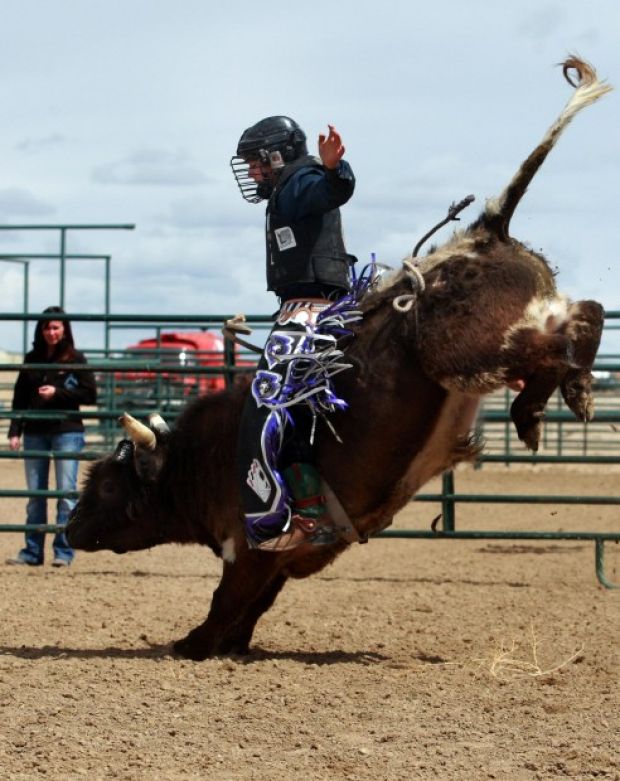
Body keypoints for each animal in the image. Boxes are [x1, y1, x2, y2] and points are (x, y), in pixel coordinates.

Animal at [66, 57, 609, 660]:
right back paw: (556, 399)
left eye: (108, 485)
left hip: (468, 350)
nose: (68, 530)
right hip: (516, 326)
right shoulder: (274, 567)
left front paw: (190, 644)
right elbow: (252, 609)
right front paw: (232, 645)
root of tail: (483, 232)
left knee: (564, 336)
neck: (202, 456)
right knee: (581, 315)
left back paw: (545, 406)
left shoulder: (248, 549)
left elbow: (225, 604)